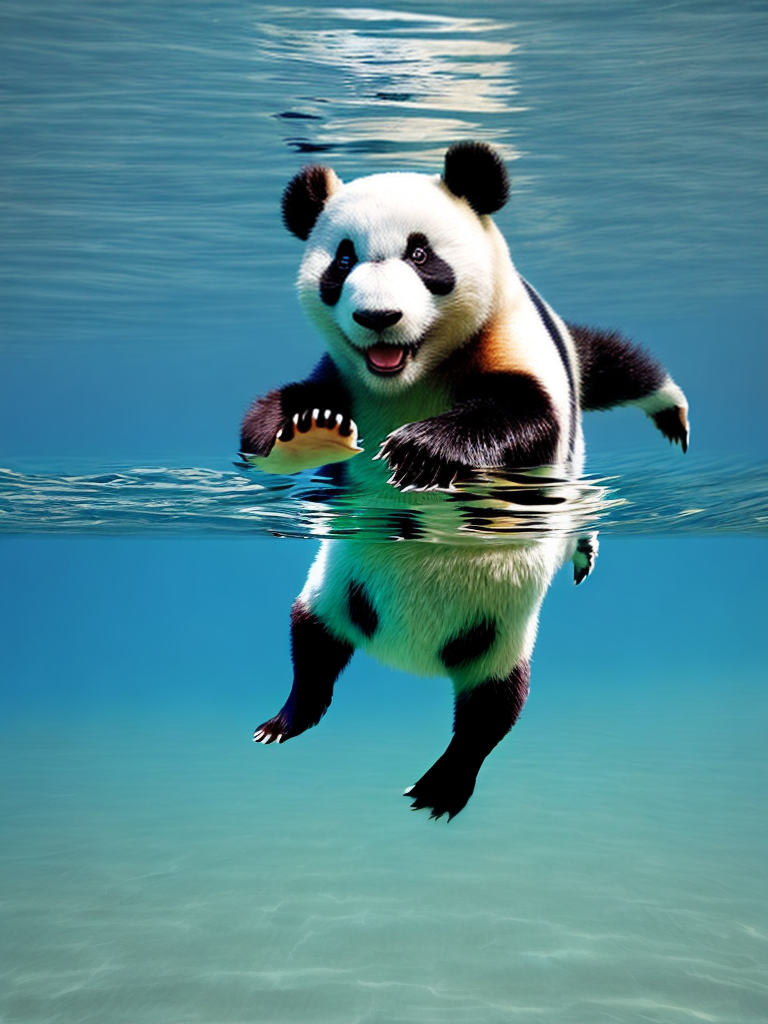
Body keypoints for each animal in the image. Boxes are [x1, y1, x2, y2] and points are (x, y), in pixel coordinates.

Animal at [240, 142, 689, 821]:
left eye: (421, 255)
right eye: (342, 259)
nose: (378, 317)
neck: (411, 374)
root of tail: (410, 656)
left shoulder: (515, 344)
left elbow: (529, 416)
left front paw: (421, 453)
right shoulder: (343, 378)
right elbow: (269, 425)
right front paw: (304, 430)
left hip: (501, 638)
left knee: (492, 711)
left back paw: (442, 785)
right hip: (336, 589)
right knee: (311, 645)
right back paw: (287, 720)